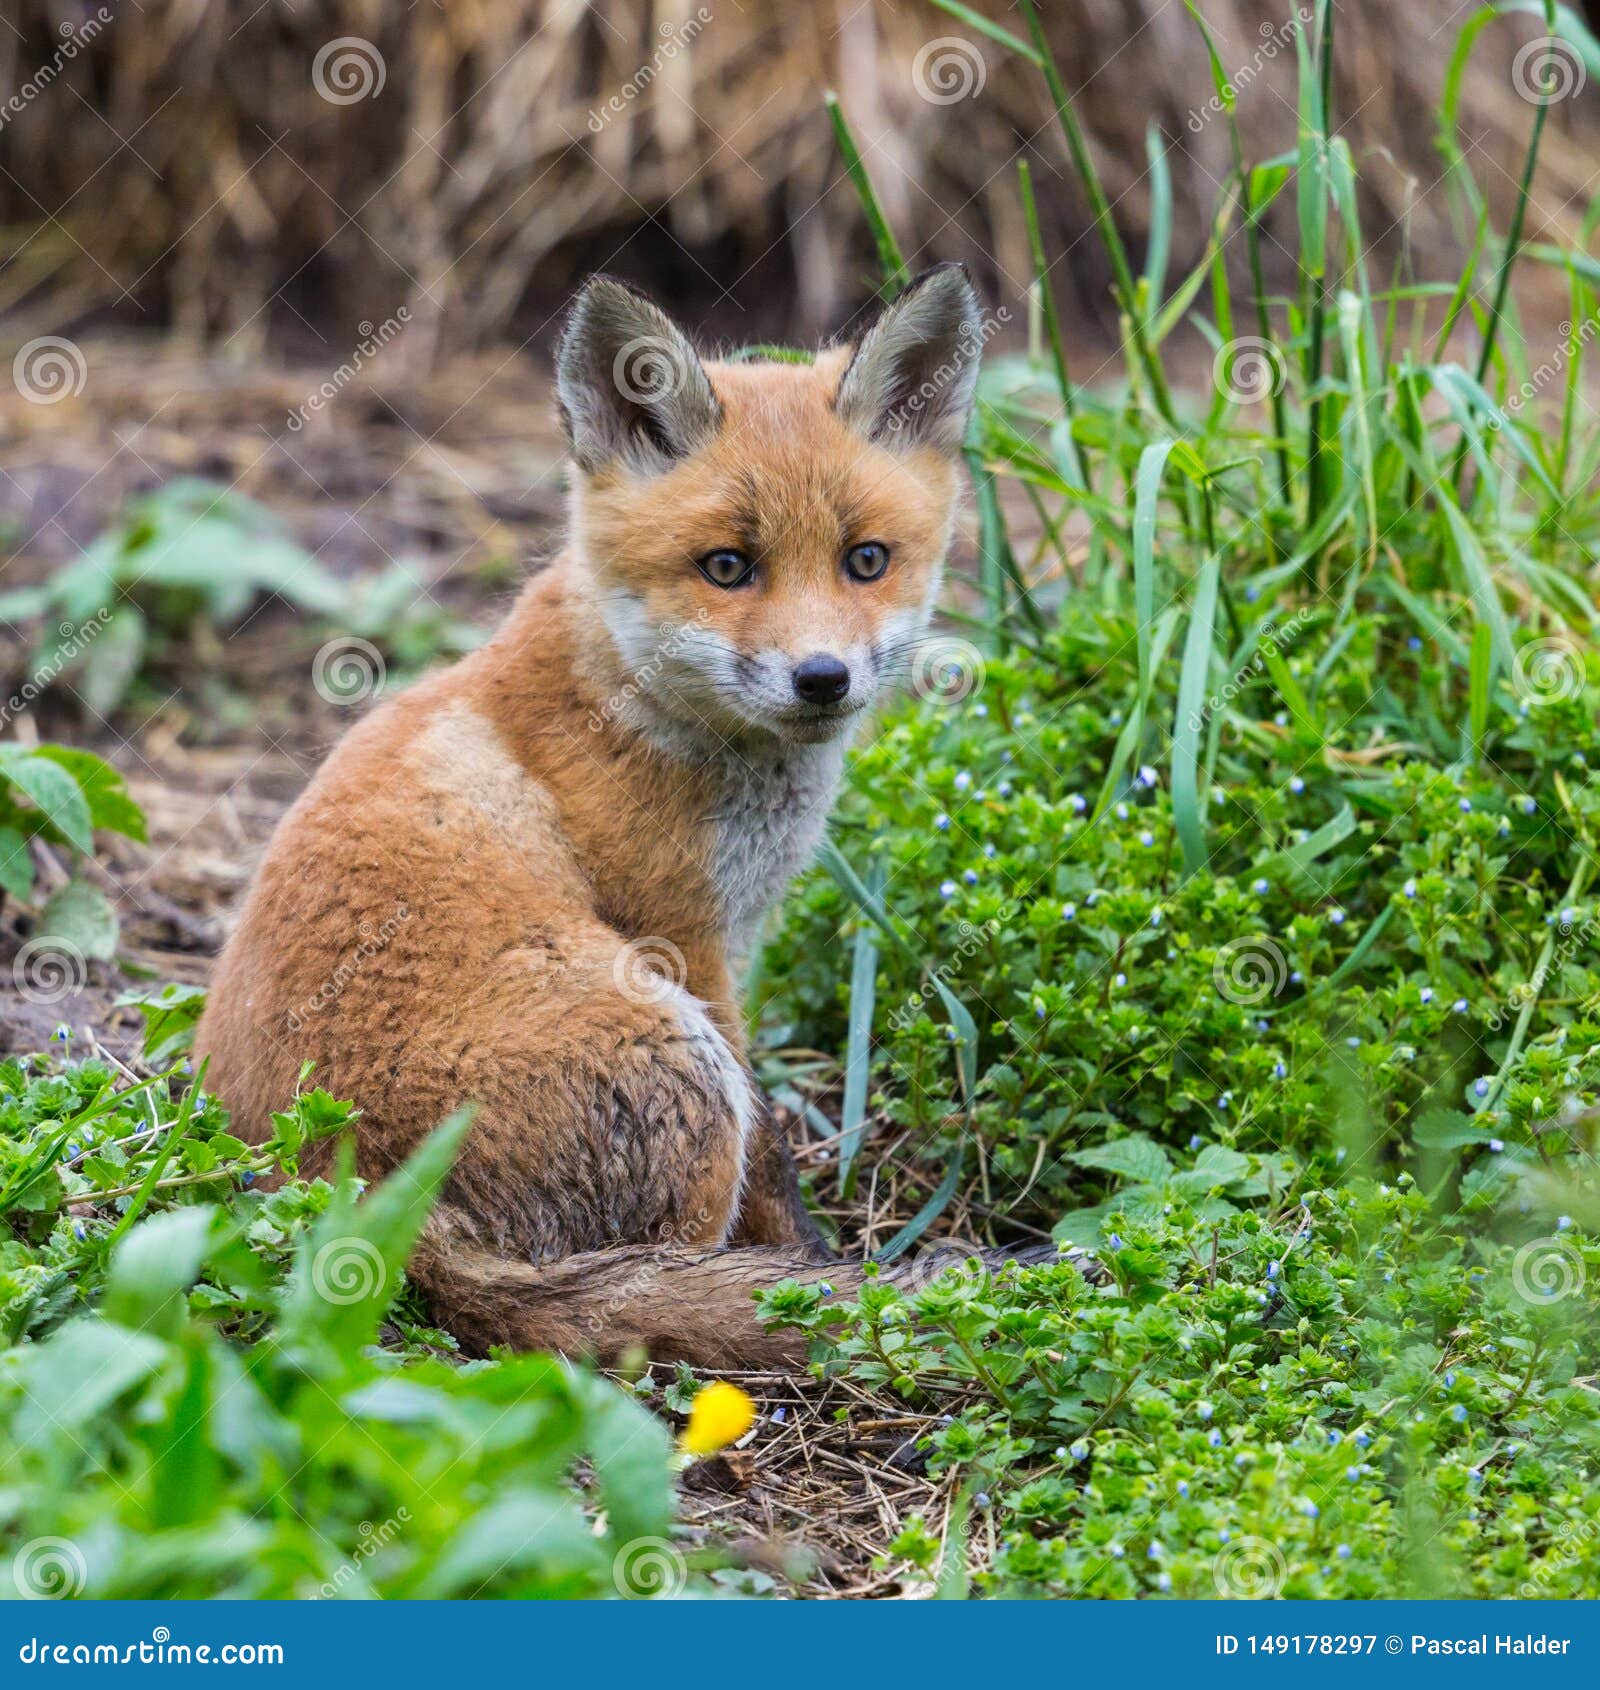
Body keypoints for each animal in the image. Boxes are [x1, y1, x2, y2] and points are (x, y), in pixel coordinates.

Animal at [194, 267, 1047, 1372]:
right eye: (727, 567)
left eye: (866, 560)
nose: (823, 679)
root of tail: (344, 1190)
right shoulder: (684, 933)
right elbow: (773, 1150)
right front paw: (813, 1261)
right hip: (672, 1045)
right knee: (644, 1286)